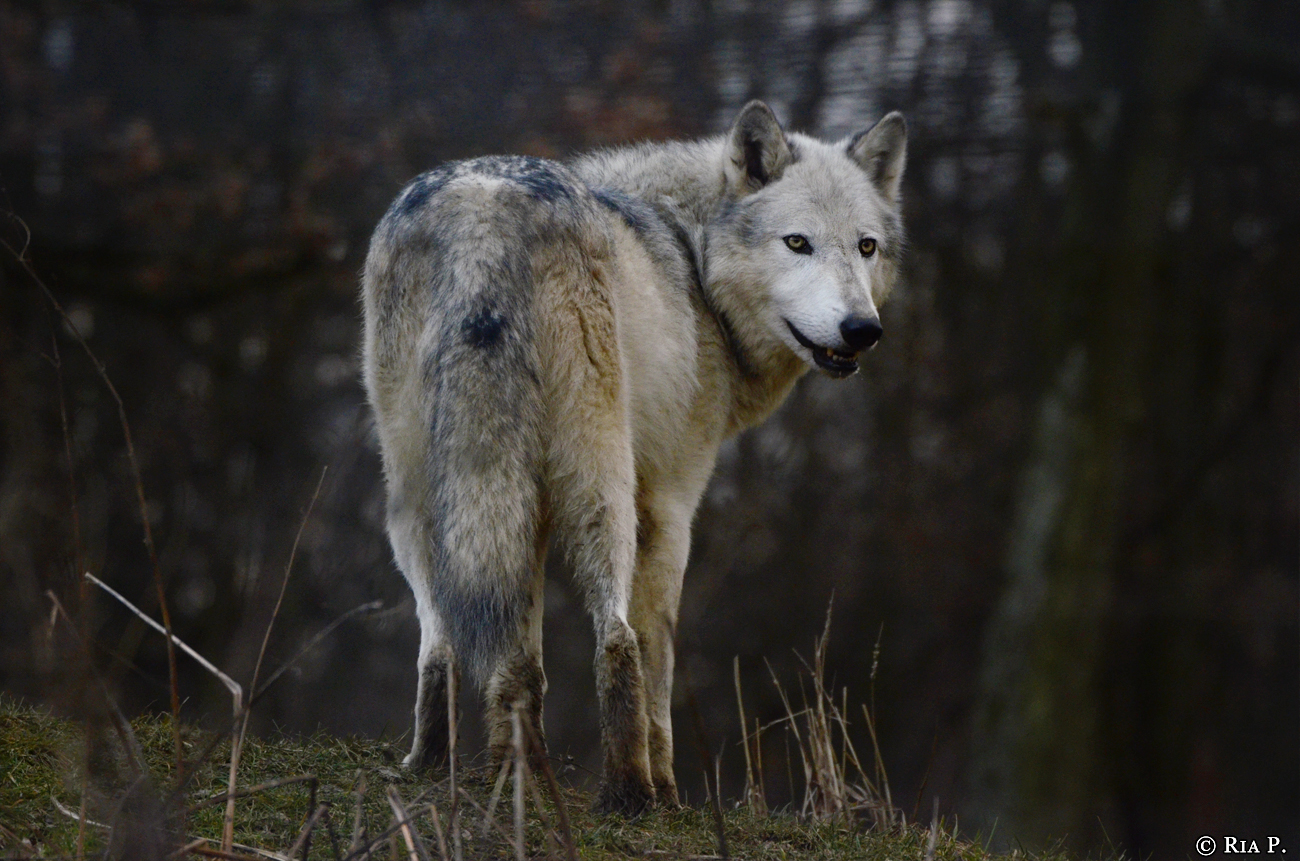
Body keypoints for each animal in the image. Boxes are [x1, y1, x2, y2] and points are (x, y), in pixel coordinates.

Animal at [361, 100, 907, 816]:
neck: (693, 259)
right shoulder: (671, 507)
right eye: (798, 244)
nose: (861, 330)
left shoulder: (531, 513)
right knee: (615, 638)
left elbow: (520, 660)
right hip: (602, 481)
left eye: (866, 246)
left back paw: (442, 768)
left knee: (442, 642)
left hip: (419, 494)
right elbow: (657, 666)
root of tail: (482, 215)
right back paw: (632, 795)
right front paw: (668, 791)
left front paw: (516, 773)